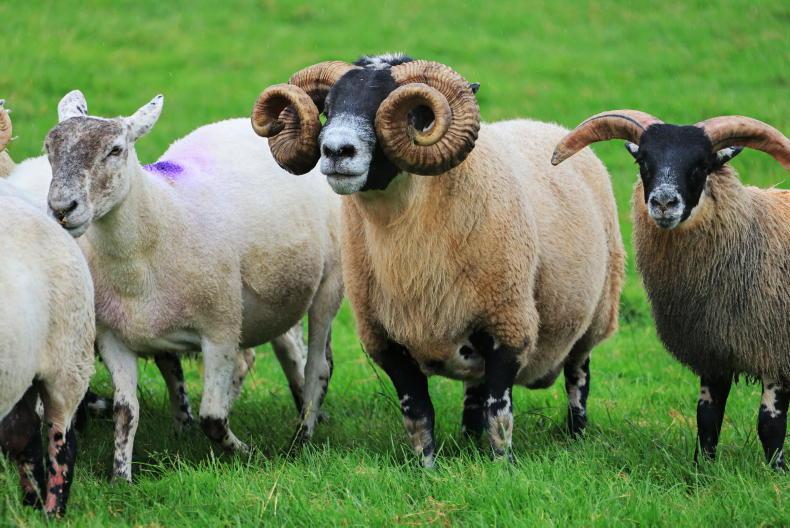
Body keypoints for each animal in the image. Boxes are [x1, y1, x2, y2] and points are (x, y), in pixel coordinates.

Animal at [44, 91, 343, 481]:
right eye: (49, 148)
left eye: (115, 150)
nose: (62, 208)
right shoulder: (112, 337)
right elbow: (125, 412)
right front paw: (120, 477)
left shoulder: (219, 330)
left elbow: (212, 418)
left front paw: (246, 452)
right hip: (275, 296)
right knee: (288, 352)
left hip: (328, 284)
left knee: (317, 366)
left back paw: (301, 438)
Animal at [251, 54, 625, 466]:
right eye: (328, 109)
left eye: (410, 113)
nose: (336, 151)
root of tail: (546, 126)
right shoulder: (386, 341)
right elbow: (418, 413)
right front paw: (426, 467)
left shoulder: (508, 325)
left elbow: (500, 412)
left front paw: (503, 467)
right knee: (475, 391)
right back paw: (468, 439)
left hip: (595, 315)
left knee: (578, 377)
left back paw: (576, 435)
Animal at [551, 110, 790, 469]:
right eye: (643, 162)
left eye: (702, 165)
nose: (664, 202)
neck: (753, 241)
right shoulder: (713, 350)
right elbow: (707, 418)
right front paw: (703, 471)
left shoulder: (776, 352)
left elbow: (770, 425)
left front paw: (776, 472)